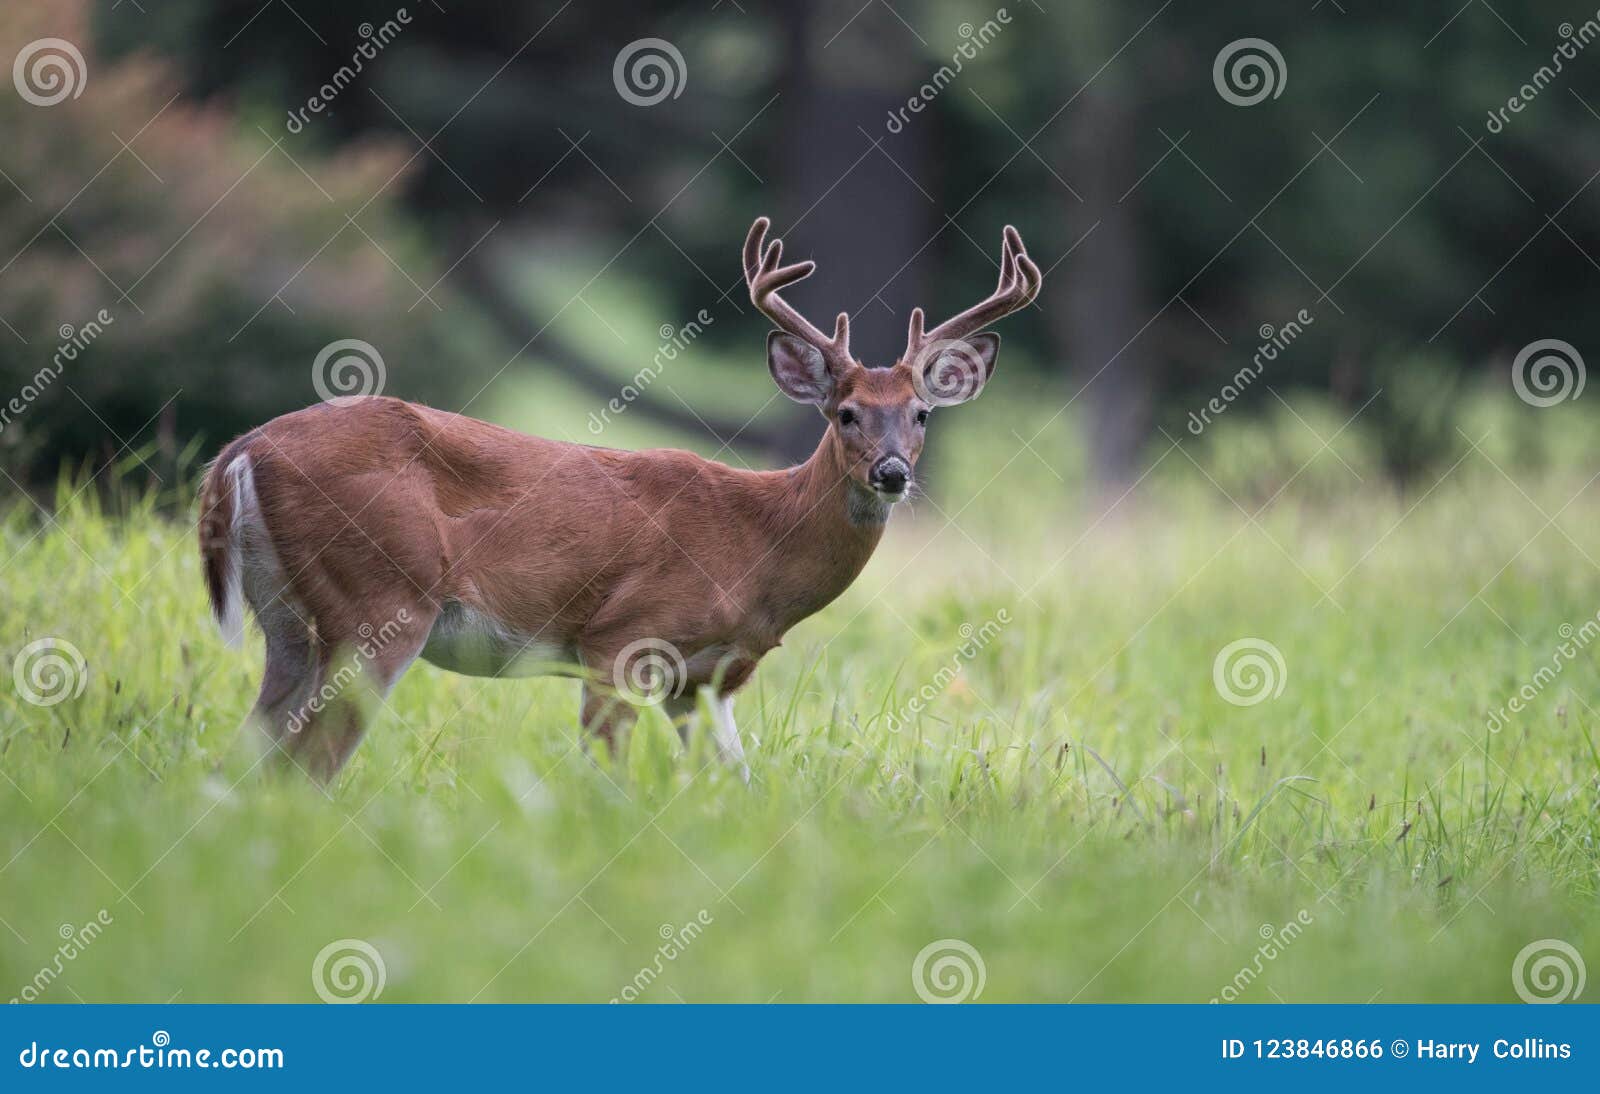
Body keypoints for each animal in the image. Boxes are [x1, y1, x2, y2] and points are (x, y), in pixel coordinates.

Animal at [198, 217, 1041, 783]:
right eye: (846, 413)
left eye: (922, 413)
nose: (892, 473)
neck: (758, 542)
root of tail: (237, 454)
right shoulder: (621, 638)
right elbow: (607, 779)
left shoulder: (705, 681)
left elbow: (733, 783)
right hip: (381, 600)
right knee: (310, 760)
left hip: (293, 622)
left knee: (253, 754)